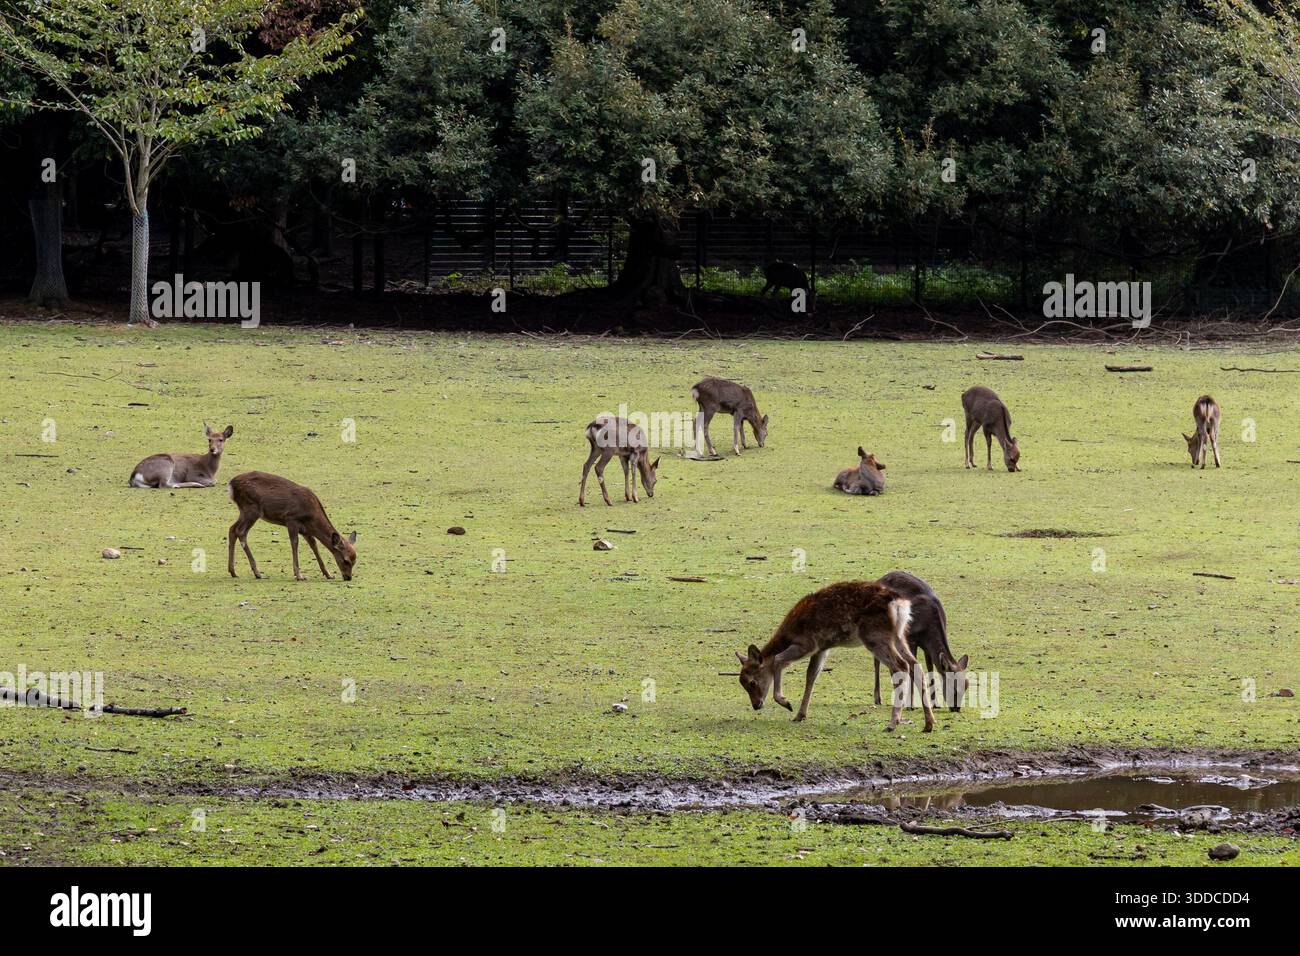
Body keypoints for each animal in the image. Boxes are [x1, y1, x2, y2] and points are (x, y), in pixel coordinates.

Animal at [227, 471, 357, 581]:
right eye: (345, 560)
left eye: (355, 560)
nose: (348, 577)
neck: (312, 516)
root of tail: (231, 484)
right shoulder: (291, 519)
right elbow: (294, 543)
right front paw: (299, 575)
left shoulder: (306, 530)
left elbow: (314, 546)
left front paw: (328, 574)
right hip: (251, 508)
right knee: (241, 532)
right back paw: (257, 573)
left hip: (244, 510)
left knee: (232, 529)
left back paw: (233, 572)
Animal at [735, 580, 935, 732]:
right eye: (742, 683)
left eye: (752, 682)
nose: (756, 705)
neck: (790, 633)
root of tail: (899, 604)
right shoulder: (822, 648)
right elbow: (811, 676)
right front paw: (800, 715)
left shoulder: (807, 643)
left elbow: (777, 660)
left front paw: (786, 702)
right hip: (899, 635)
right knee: (915, 665)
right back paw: (929, 724)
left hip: (875, 637)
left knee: (900, 666)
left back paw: (892, 723)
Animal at [873, 571, 969, 712]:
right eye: (953, 687)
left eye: (966, 686)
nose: (956, 709)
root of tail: (878, 580)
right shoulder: (911, 639)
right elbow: (913, 669)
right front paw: (910, 705)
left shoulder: (927, 646)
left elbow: (930, 669)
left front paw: (935, 704)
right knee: (876, 660)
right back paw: (878, 699)